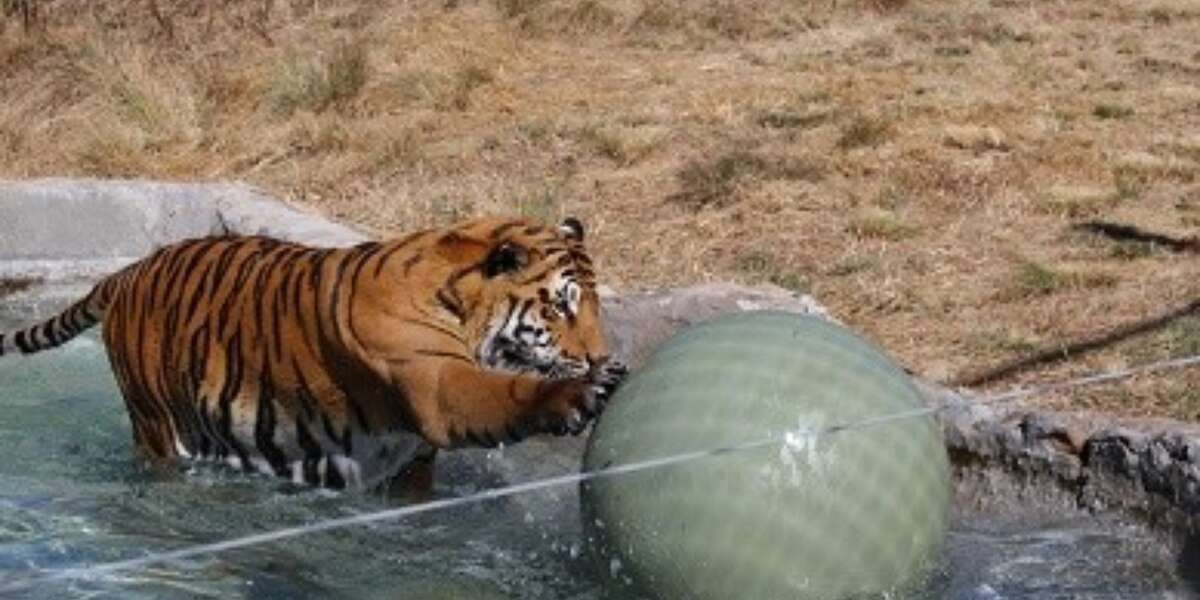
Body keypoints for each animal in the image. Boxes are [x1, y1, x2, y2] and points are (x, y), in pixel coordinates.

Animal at [0, 216, 627, 491]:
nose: (599, 357)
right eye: (561, 307)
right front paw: (581, 392)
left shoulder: (412, 460)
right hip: (156, 422)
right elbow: (506, 393)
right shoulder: (438, 386)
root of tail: (128, 270)